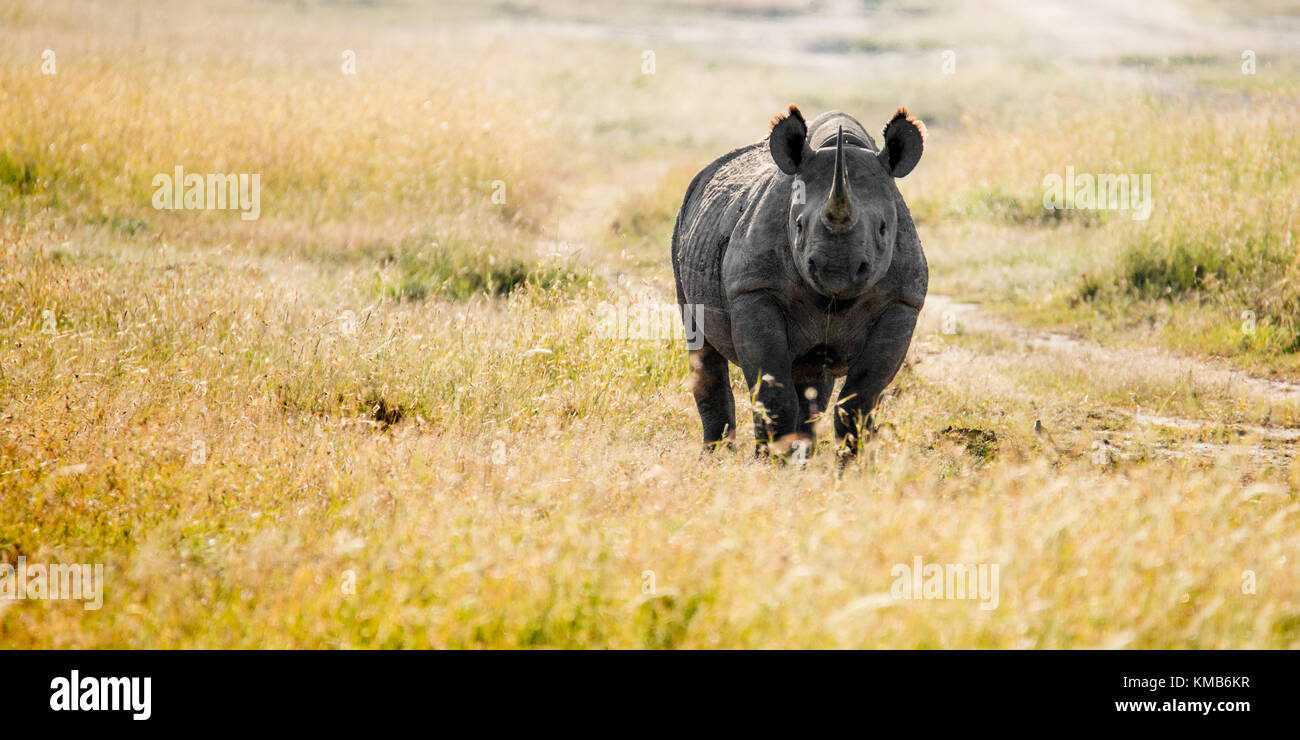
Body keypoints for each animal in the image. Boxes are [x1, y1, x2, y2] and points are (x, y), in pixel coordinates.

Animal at [671, 105, 927, 457]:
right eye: (799, 225)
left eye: (884, 228)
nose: (837, 272)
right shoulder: (754, 289)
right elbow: (773, 395)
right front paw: (768, 464)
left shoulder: (901, 301)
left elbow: (860, 401)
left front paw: (850, 467)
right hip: (681, 227)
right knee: (702, 345)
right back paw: (716, 458)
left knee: (813, 382)